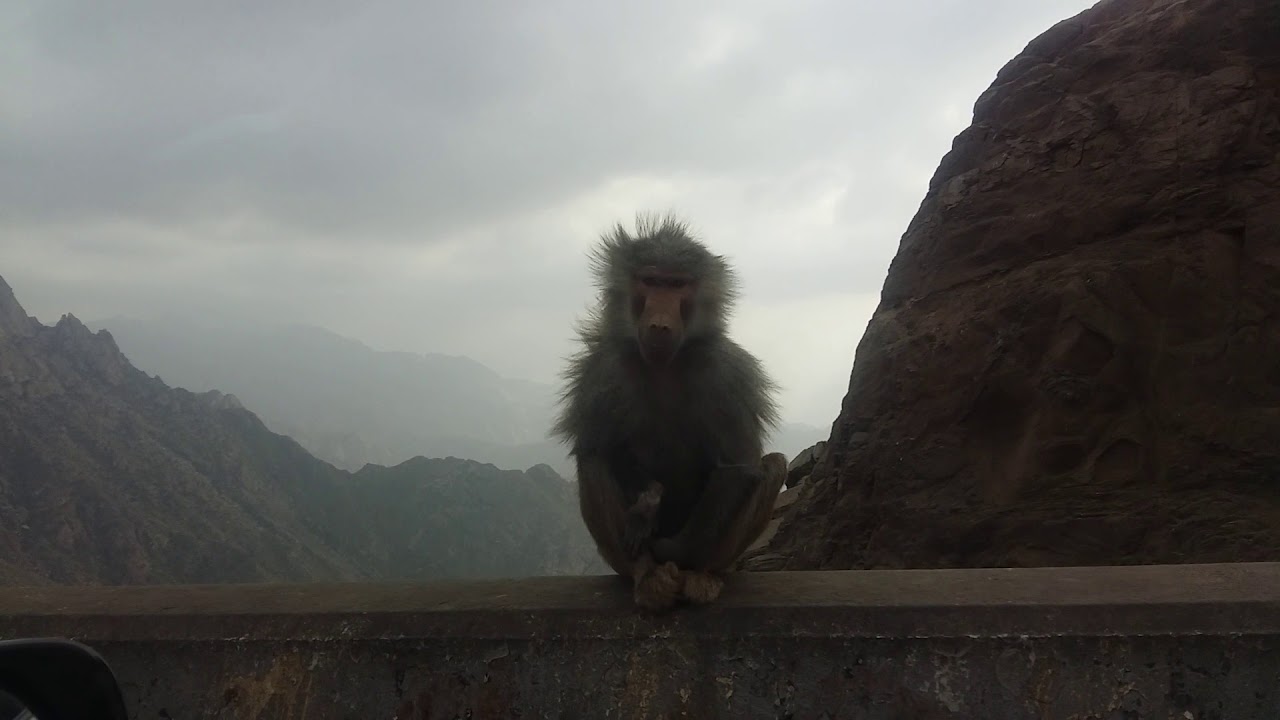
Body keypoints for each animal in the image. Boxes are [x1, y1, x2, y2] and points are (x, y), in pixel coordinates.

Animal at [551, 213, 787, 612]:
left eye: (677, 285)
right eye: (651, 281)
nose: (659, 323)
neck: (665, 365)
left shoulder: (726, 374)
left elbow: (739, 467)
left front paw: (663, 537)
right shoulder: (605, 371)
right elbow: (601, 449)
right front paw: (647, 507)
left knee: (773, 465)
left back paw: (701, 573)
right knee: (592, 460)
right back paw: (646, 574)